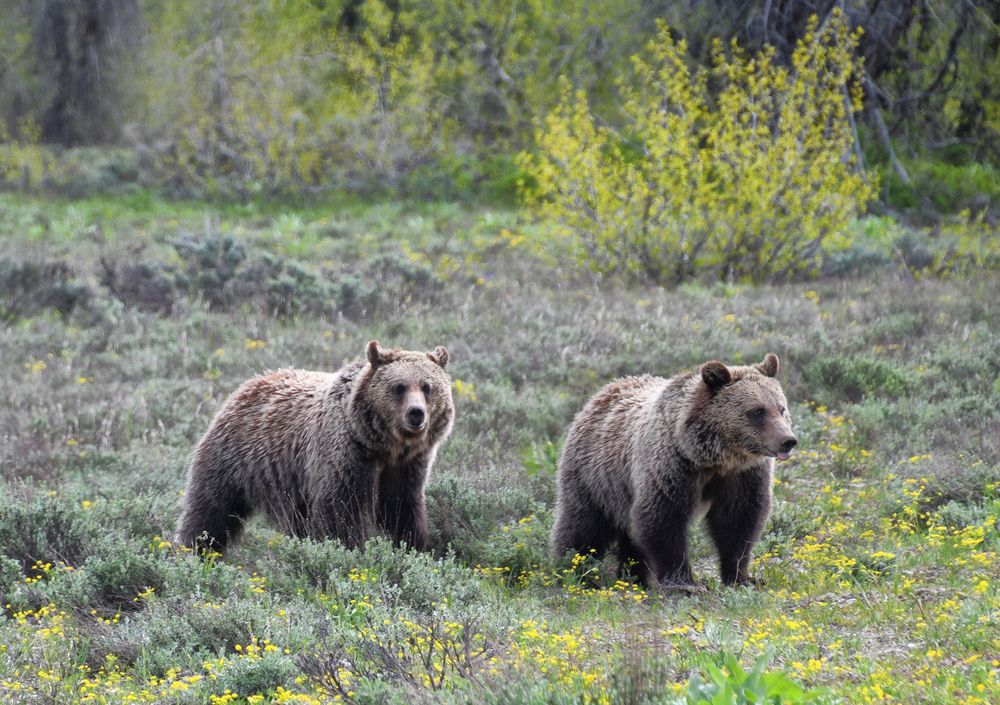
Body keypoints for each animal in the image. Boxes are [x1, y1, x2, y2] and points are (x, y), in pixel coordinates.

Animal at [176, 340, 454, 554]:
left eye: (427, 387)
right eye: (399, 387)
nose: (416, 413)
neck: (383, 444)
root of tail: (250, 382)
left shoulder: (406, 466)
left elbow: (401, 507)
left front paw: (413, 546)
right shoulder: (345, 455)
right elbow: (339, 511)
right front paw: (348, 549)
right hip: (234, 458)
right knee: (211, 508)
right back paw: (196, 550)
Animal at [551, 354, 796, 591]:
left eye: (781, 408)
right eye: (757, 411)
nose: (788, 440)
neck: (714, 457)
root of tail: (600, 394)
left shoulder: (742, 475)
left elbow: (738, 520)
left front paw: (743, 577)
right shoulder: (671, 466)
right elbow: (663, 520)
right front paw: (685, 583)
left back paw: (634, 578)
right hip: (595, 479)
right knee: (583, 526)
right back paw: (573, 571)